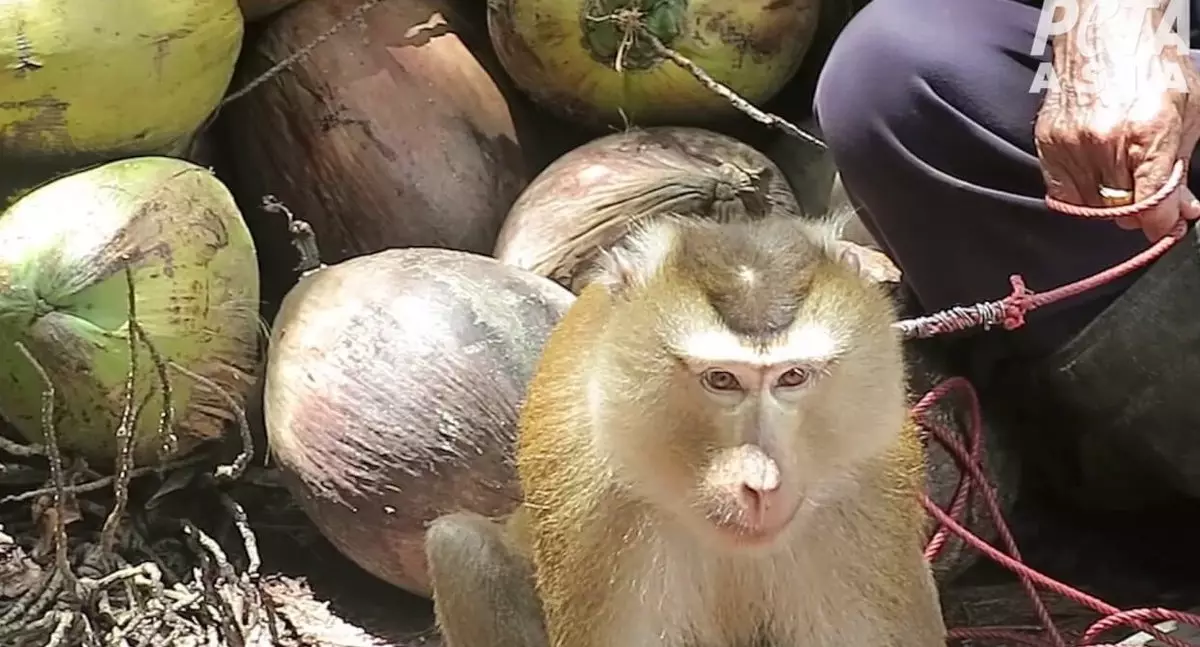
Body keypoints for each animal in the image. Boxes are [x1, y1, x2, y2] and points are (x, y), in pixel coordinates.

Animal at [427, 213, 940, 647]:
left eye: (792, 377)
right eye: (722, 380)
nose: (760, 483)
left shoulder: (866, 495)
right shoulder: (599, 511)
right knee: (458, 548)